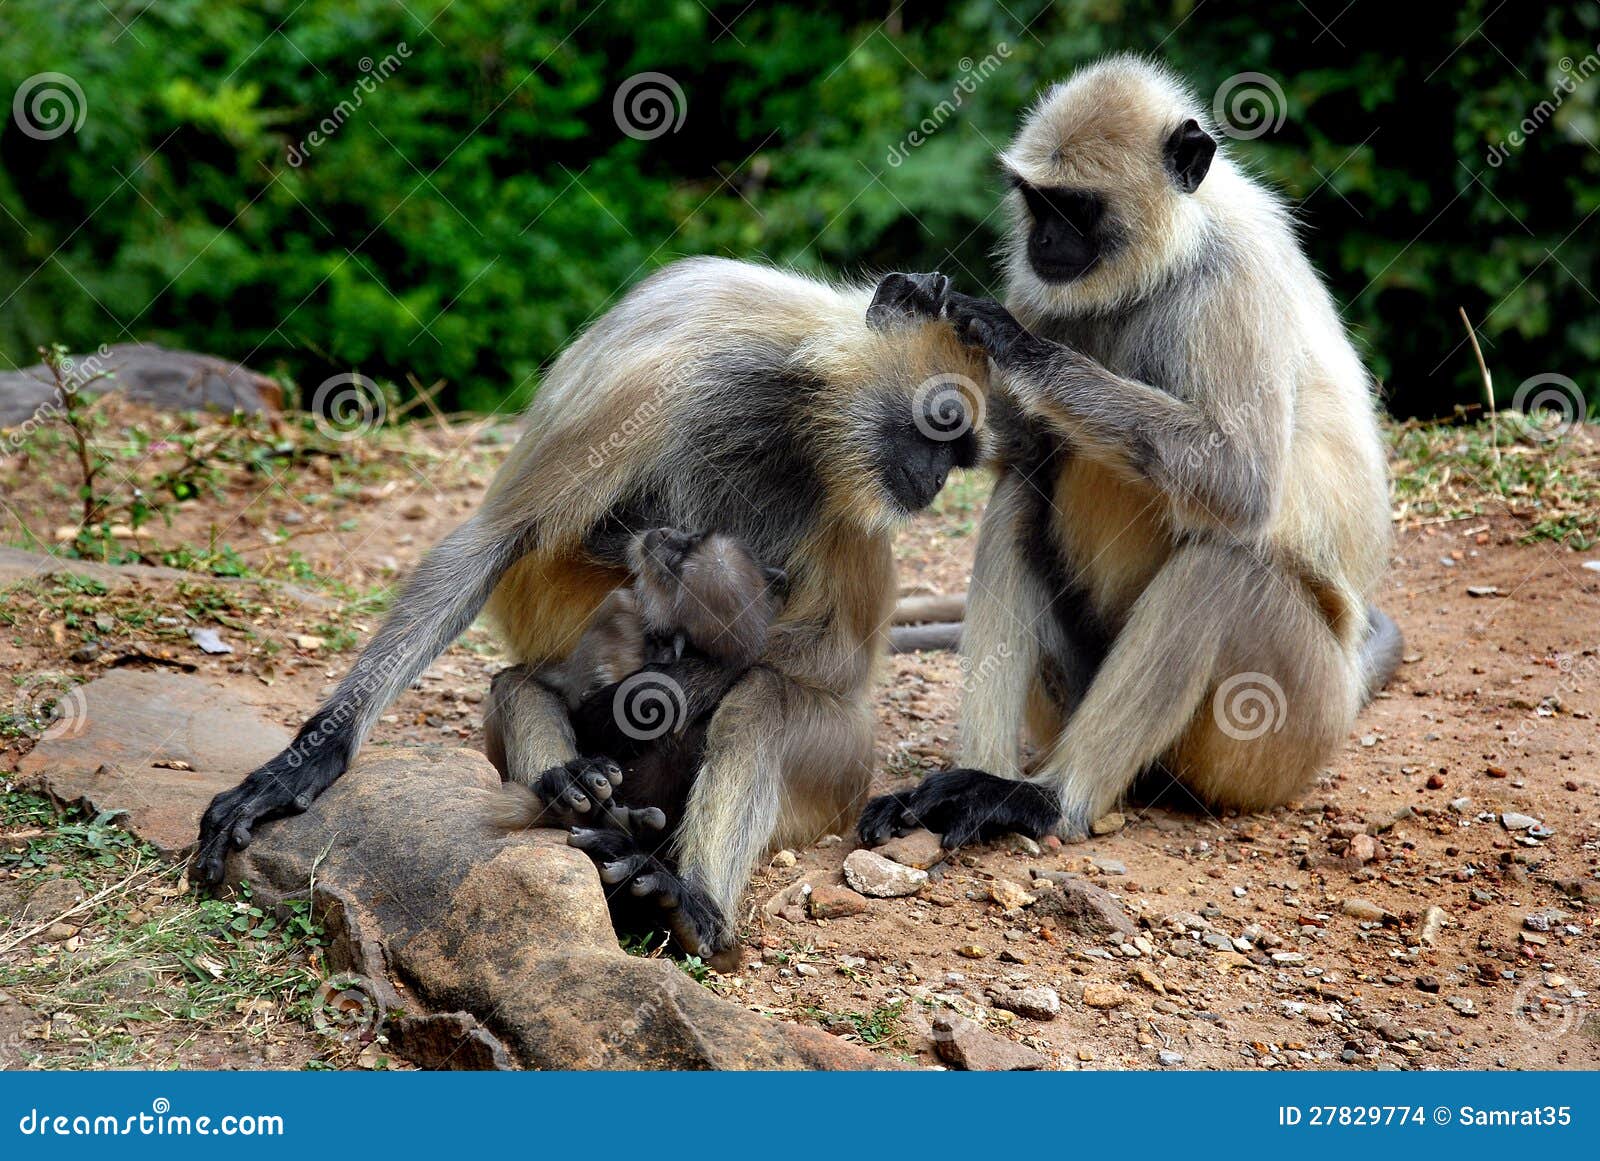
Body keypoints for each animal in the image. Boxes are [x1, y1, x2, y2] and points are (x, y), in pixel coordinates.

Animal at [196, 258, 986, 962]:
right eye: (936, 429)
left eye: (955, 452)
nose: (935, 481)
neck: (800, 396)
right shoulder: (661, 383)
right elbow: (496, 540)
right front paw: (308, 760)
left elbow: (835, 658)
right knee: (524, 683)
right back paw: (577, 797)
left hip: (841, 774)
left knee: (764, 694)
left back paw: (690, 907)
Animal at [859, 56, 1403, 851]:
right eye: (1034, 202)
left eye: (1076, 209)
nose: (1044, 241)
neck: (1168, 258)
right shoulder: (1046, 289)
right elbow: (1023, 445)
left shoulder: (1231, 284)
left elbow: (1241, 482)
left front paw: (1013, 345)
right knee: (1023, 490)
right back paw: (976, 782)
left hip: (1289, 731)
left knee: (1225, 566)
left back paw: (1049, 800)